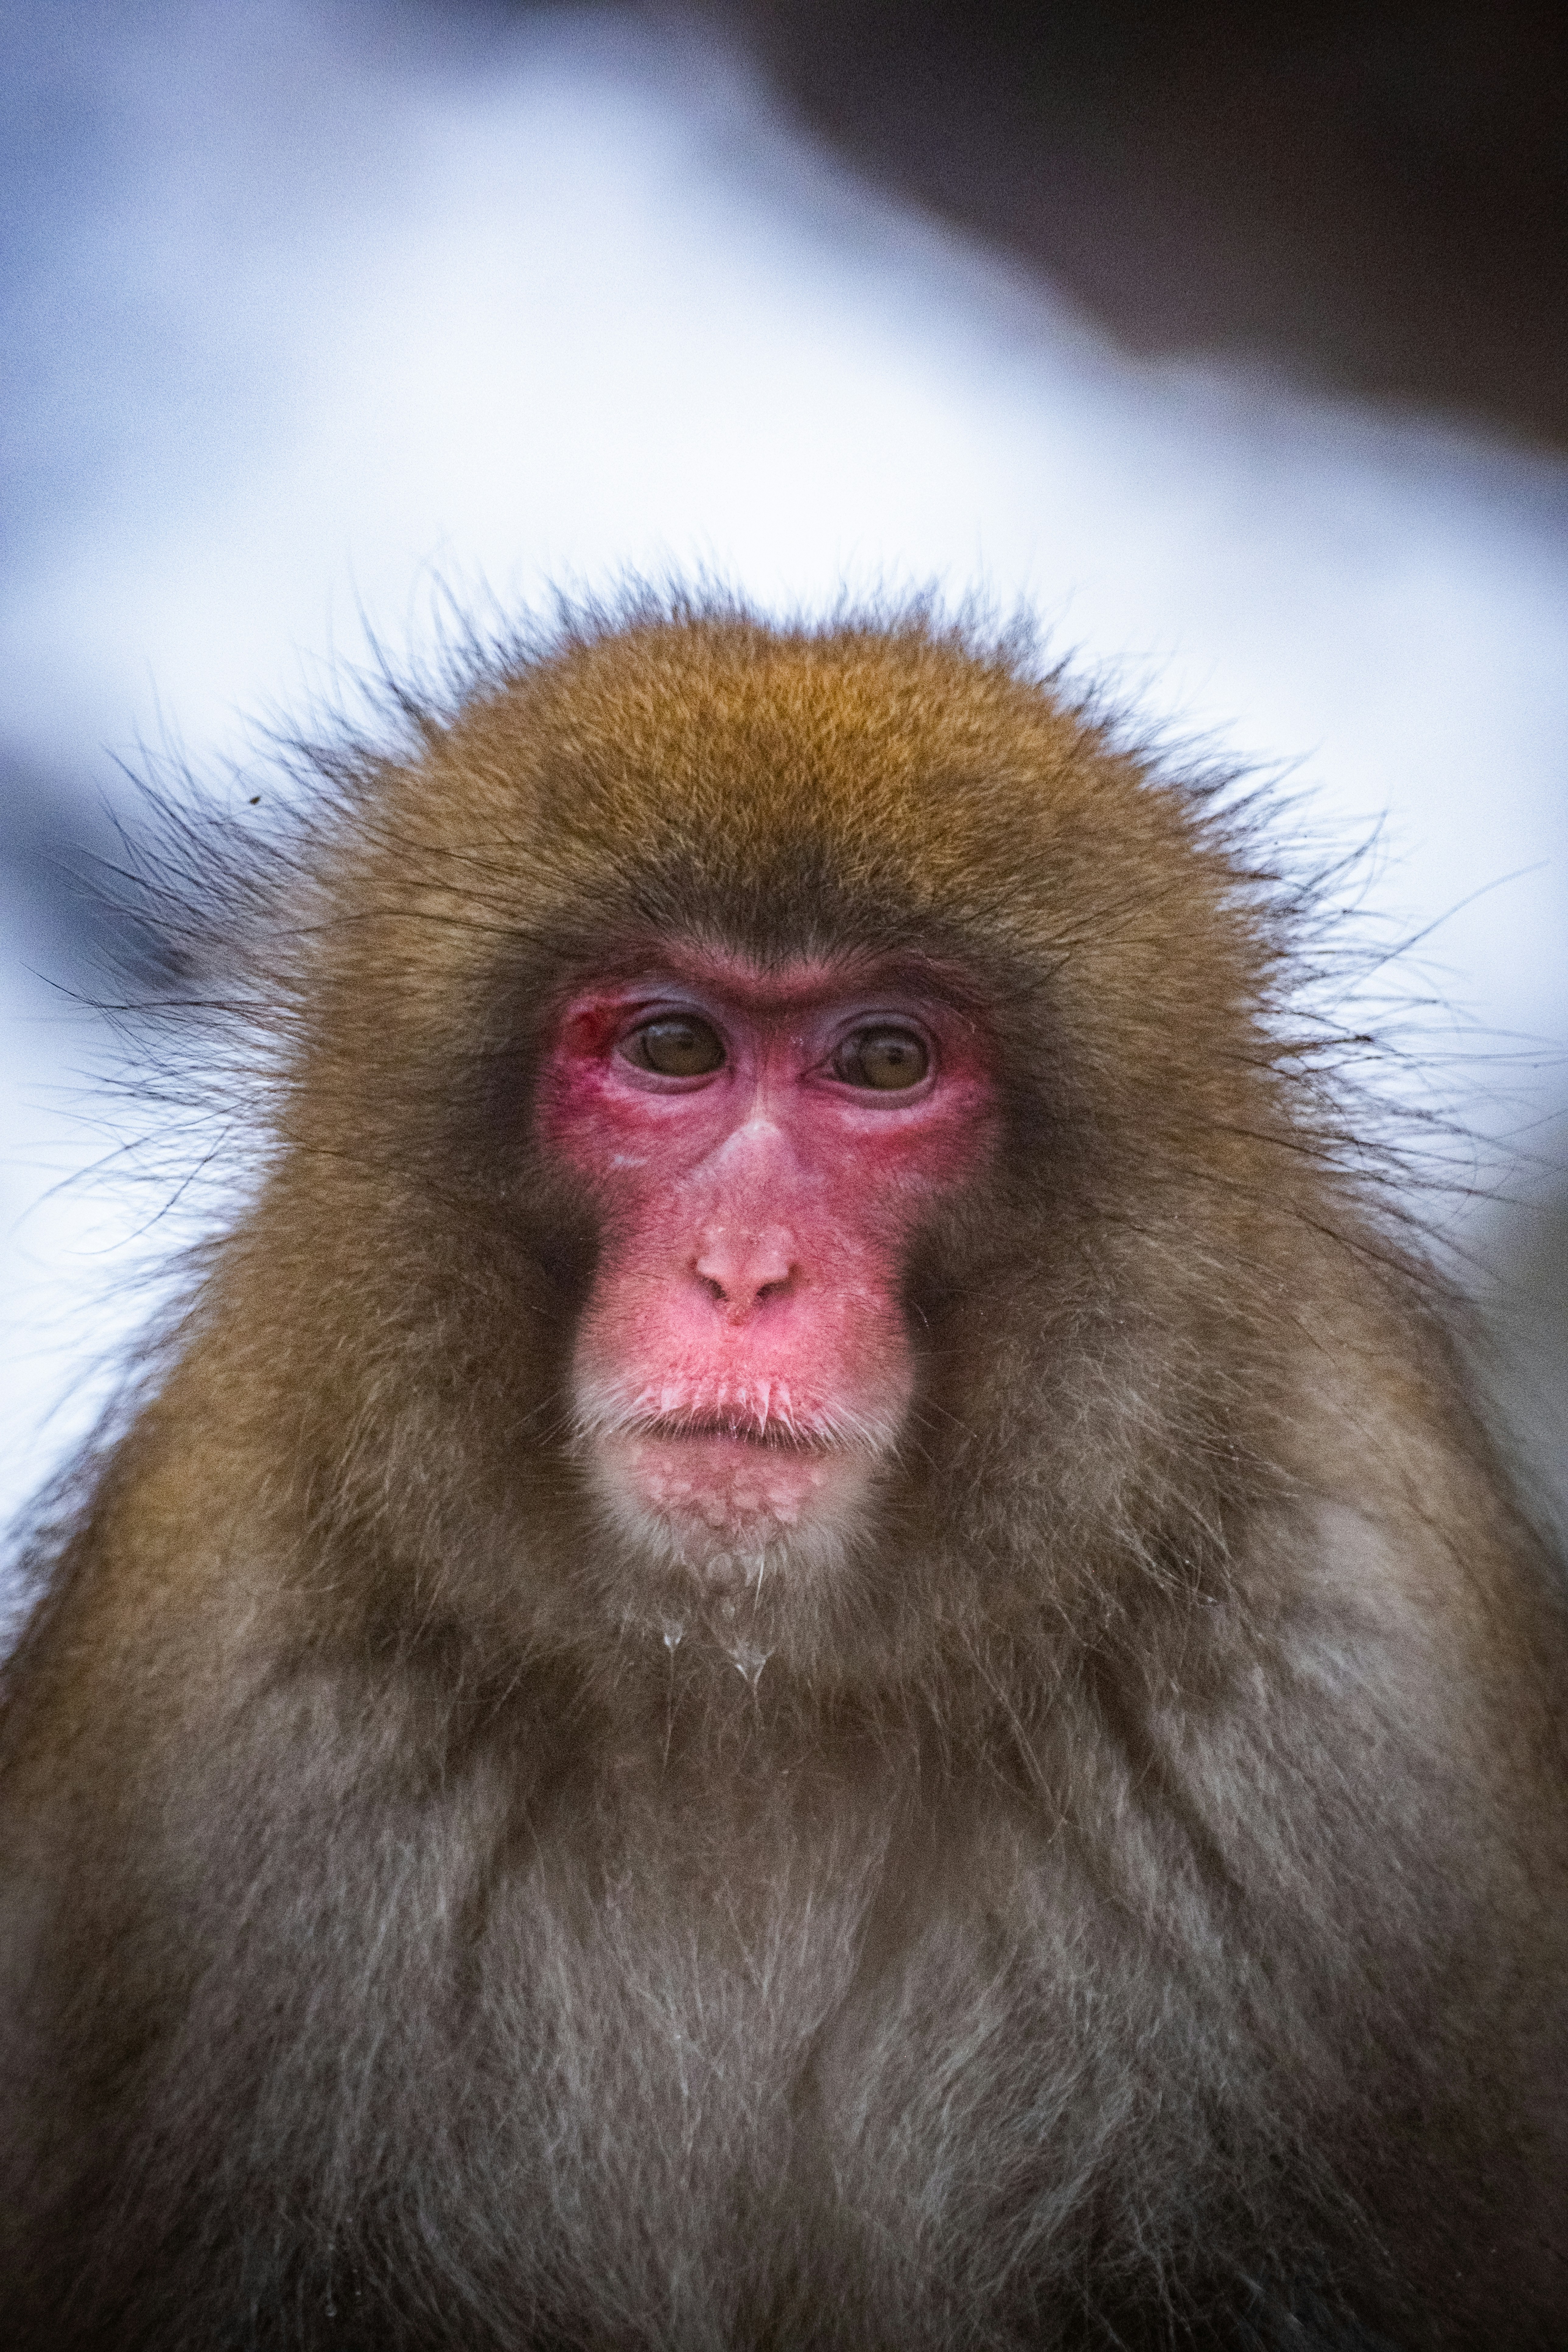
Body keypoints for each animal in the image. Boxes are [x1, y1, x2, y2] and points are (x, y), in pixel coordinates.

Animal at [1, 602, 1564, 2352]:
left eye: (881, 1061)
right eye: (675, 1046)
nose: (745, 1271)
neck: (752, 1690)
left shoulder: (1339, 1709)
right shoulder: (237, 1708)